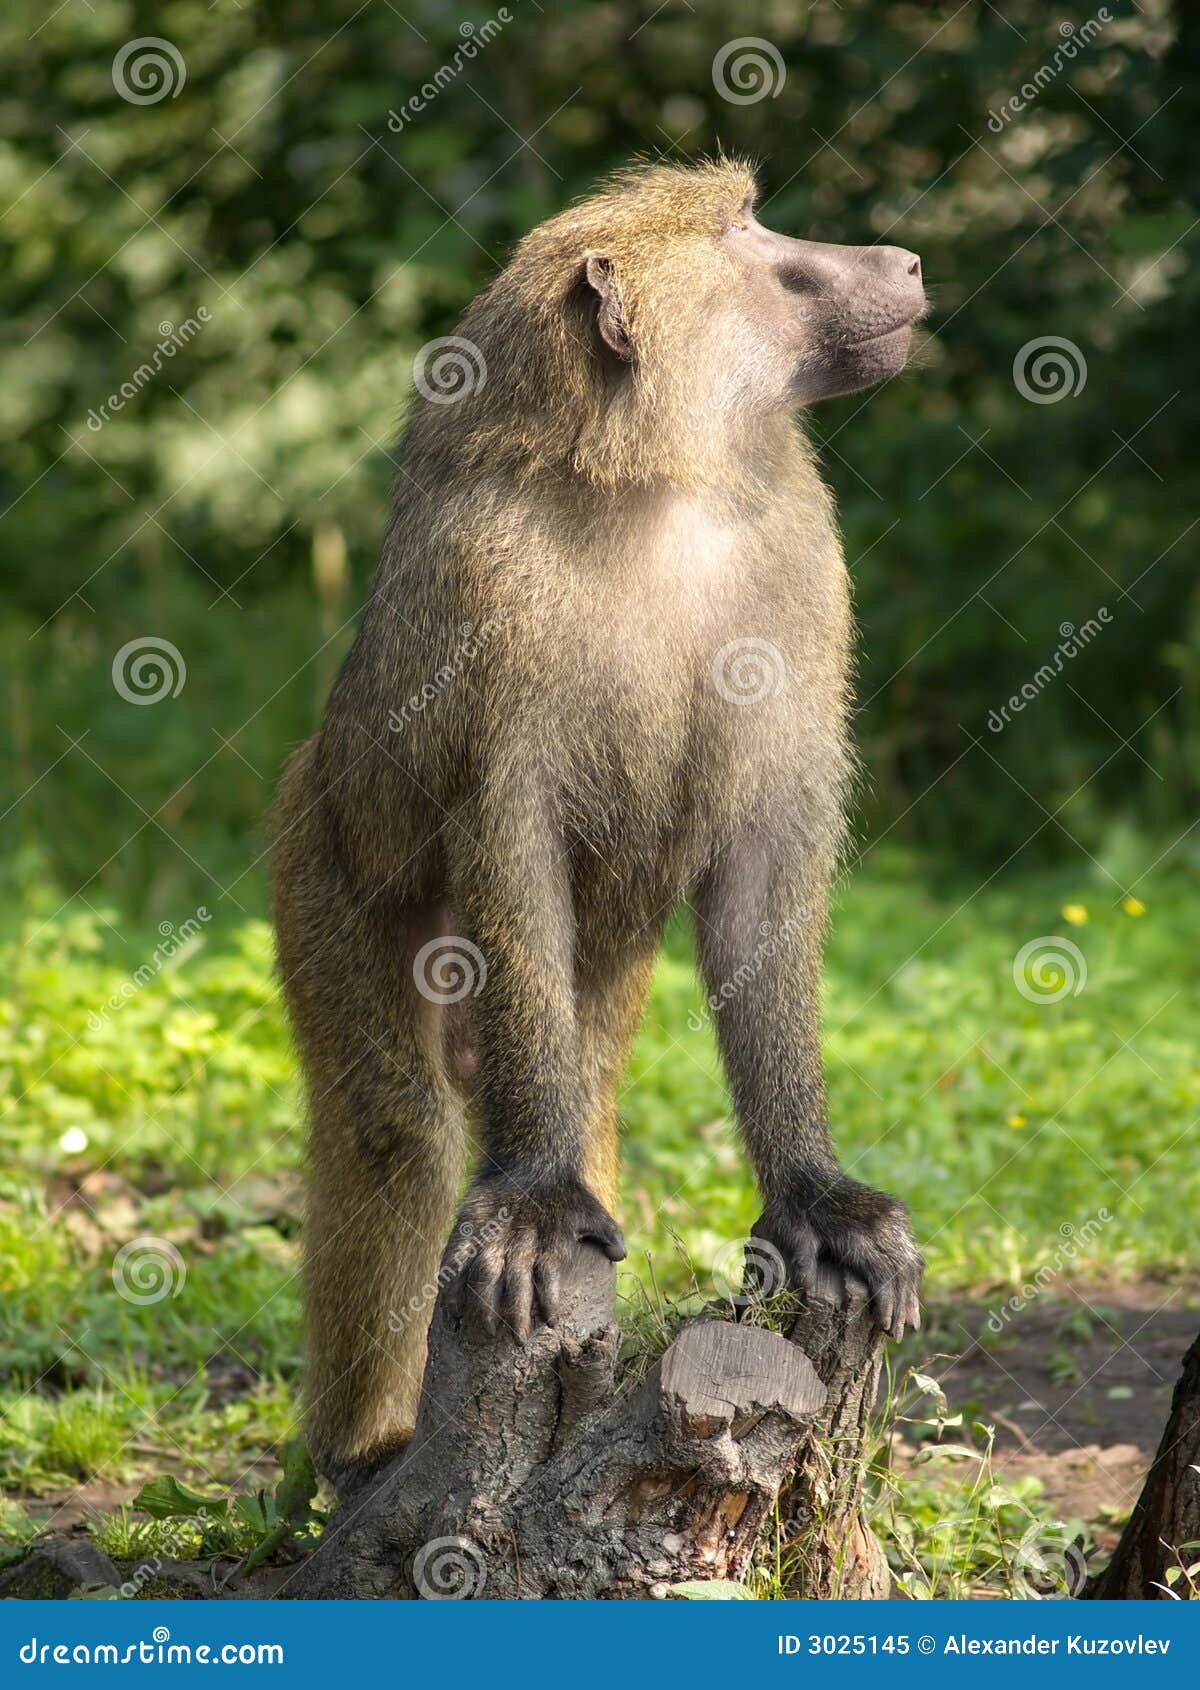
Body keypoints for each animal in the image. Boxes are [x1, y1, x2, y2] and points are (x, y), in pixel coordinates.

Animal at [271, 158, 928, 1489]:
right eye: (748, 234)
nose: (903, 260)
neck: (655, 482)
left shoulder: (796, 561)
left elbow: (759, 870)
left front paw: (815, 1197)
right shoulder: (488, 585)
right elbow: (506, 832)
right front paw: (531, 1196)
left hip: (607, 966)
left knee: (586, 1091)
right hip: (321, 858)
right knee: (399, 1132)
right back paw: (365, 1451)